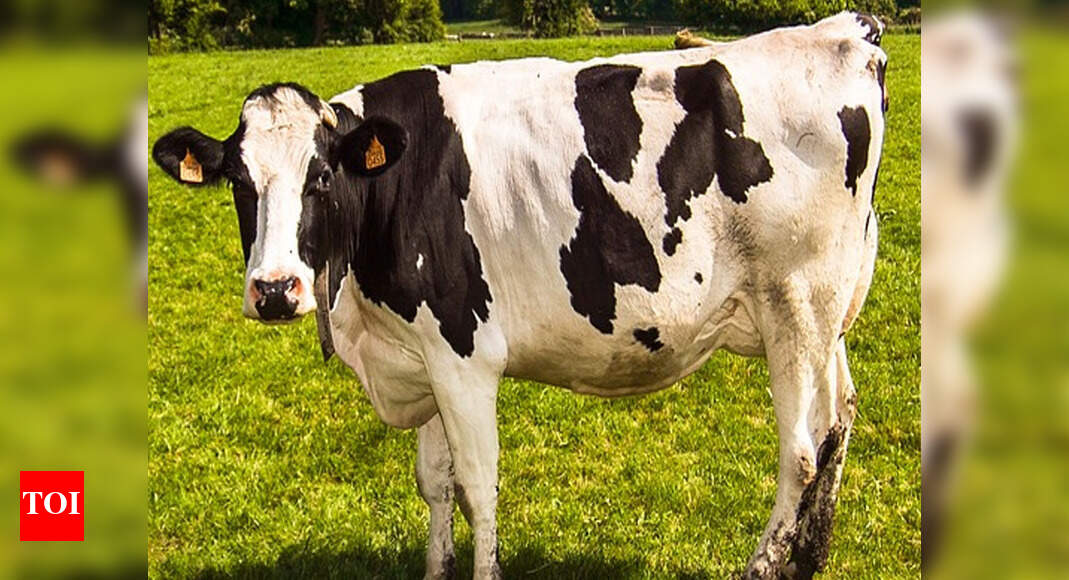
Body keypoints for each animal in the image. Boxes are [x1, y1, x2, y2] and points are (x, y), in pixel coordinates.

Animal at [152, 12, 887, 579]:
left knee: (801, 451)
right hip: (827, 310)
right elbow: (434, 481)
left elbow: (477, 485)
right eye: (238, 182)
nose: (276, 289)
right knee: (838, 419)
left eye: (322, 176)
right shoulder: (420, 351)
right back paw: (808, 558)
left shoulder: (462, 353)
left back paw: (766, 564)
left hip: (794, 301)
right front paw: (436, 568)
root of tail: (847, 29)